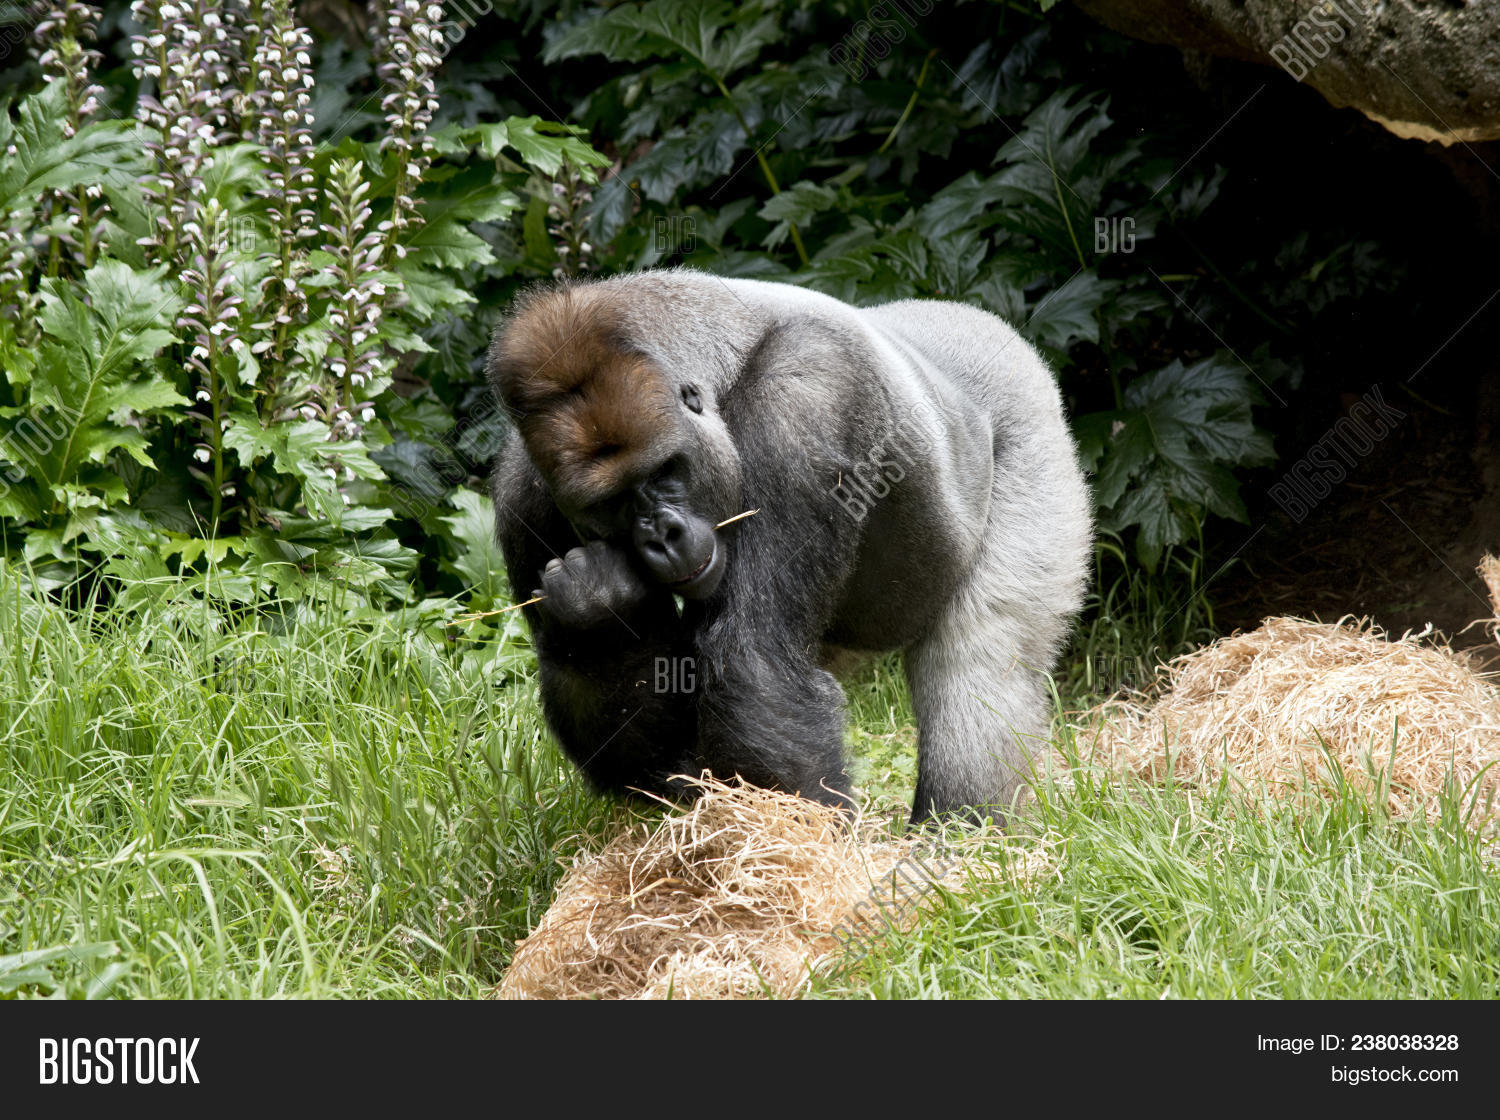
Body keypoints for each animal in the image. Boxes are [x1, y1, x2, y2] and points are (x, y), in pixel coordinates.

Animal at [487, 268, 1092, 823]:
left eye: (664, 471)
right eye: (609, 503)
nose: (662, 536)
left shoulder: (805, 394)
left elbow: (753, 663)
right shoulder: (523, 495)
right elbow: (661, 759)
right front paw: (600, 609)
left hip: (1028, 411)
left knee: (981, 662)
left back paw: (965, 830)